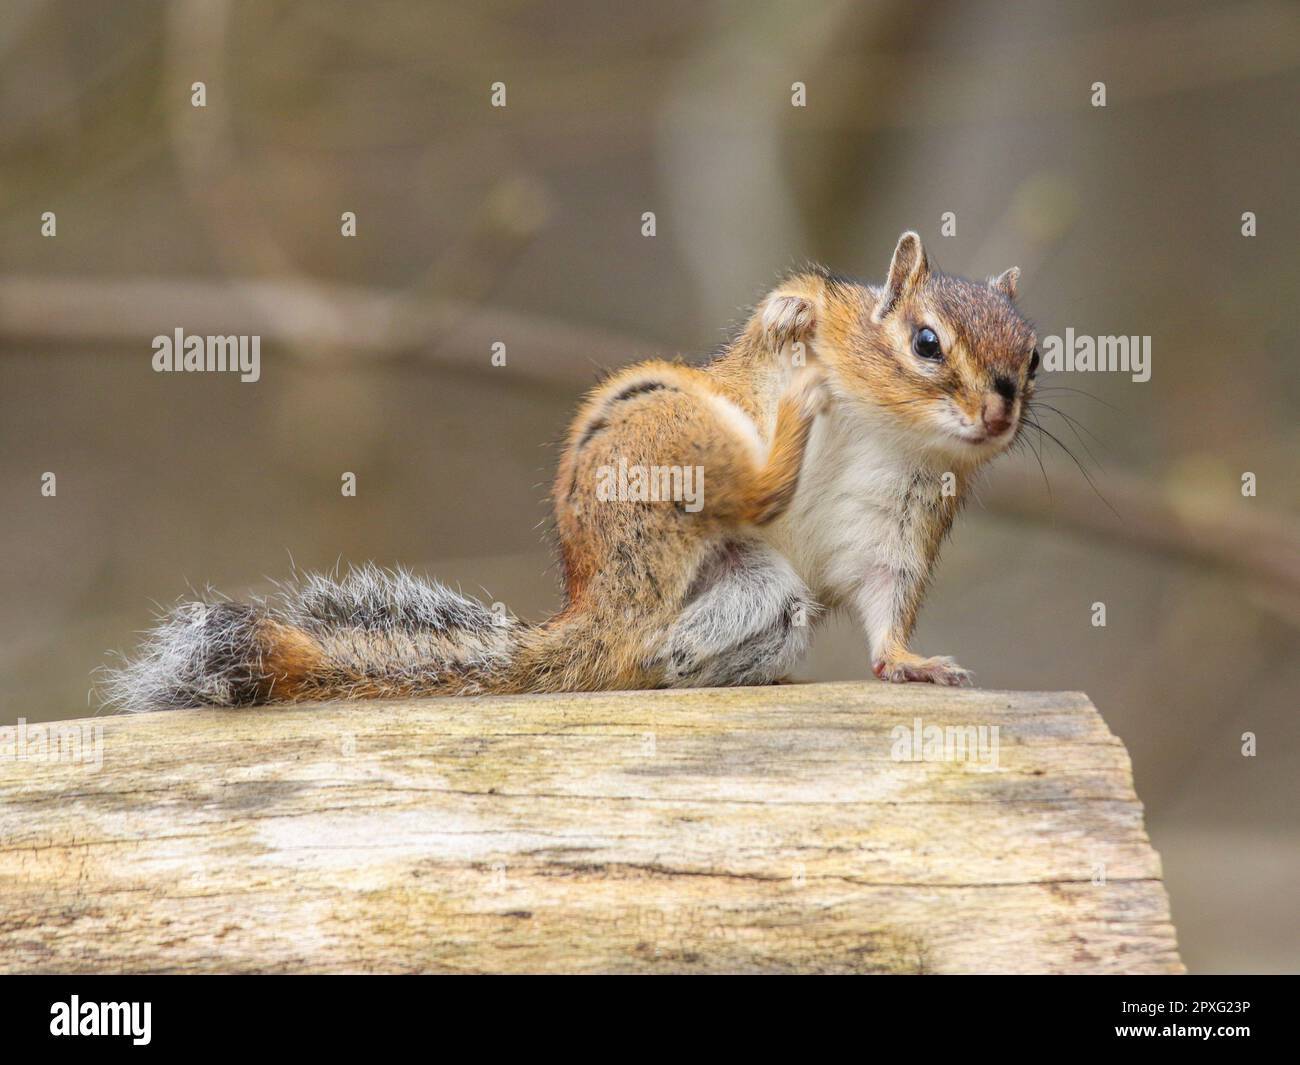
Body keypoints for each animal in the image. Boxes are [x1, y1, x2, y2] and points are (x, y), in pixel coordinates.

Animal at [105, 232, 1038, 710]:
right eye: (926, 341)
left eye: (1033, 356)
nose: (998, 413)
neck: (888, 426)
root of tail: (599, 606)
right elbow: (794, 312)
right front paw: (793, 322)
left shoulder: (901, 526)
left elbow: (886, 607)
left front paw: (912, 663)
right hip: (671, 431)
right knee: (752, 493)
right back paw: (799, 412)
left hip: (766, 595)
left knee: (664, 654)